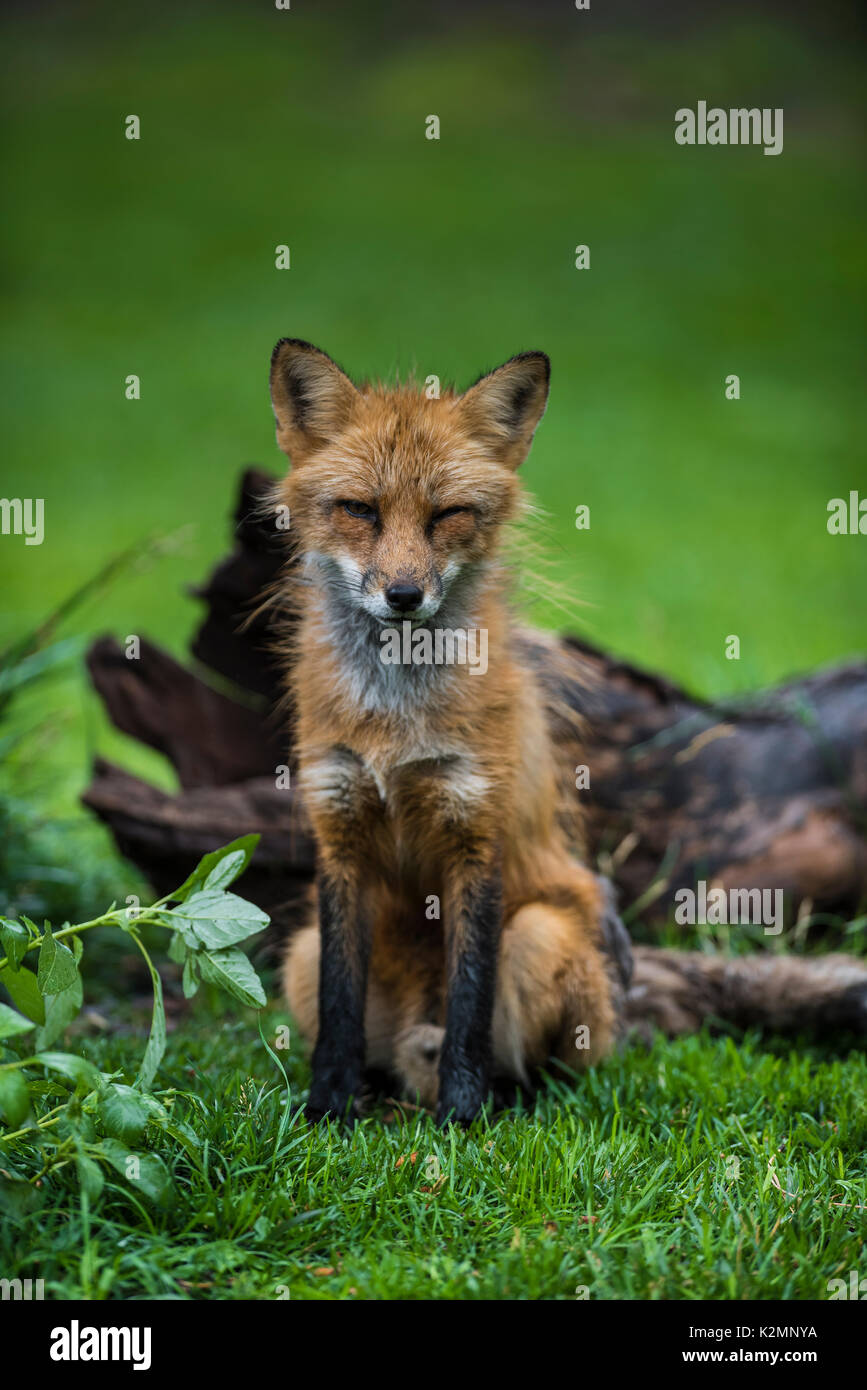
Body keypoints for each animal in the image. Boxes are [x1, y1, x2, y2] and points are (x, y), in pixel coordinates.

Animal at [269, 338, 867, 1125]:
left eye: (447, 515)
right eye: (360, 511)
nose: (403, 596)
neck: (396, 723)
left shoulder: (477, 832)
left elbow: (470, 1004)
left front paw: (462, 1117)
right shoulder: (338, 828)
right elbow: (340, 1009)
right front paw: (327, 1111)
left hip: (541, 935)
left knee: (543, 1065)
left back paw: (500, 1100)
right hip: (300, 952)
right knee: (379, 1043)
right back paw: (380, 1090)